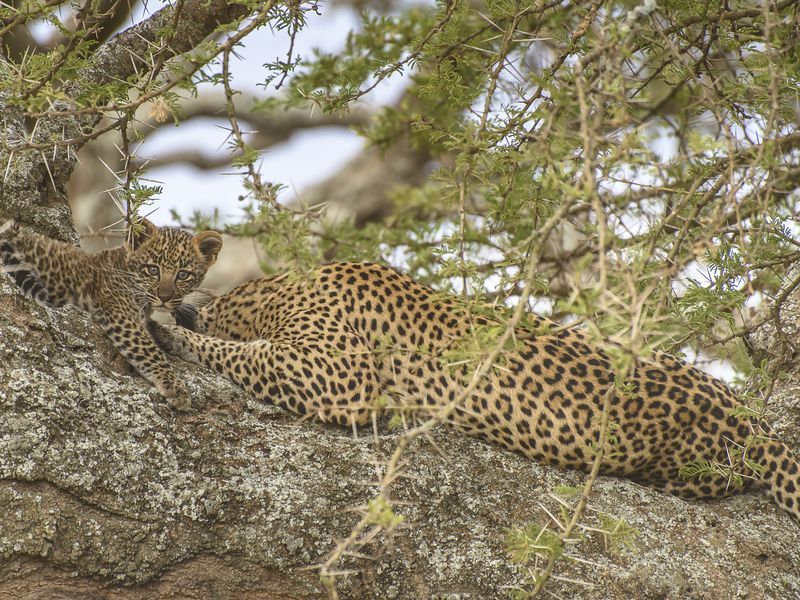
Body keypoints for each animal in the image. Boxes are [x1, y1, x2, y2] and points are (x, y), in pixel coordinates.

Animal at [0, 218, 222, 411]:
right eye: (152, 270)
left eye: (183, 275)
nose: (164, 297)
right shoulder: (122, 316)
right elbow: (149, 351)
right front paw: (175, 388)